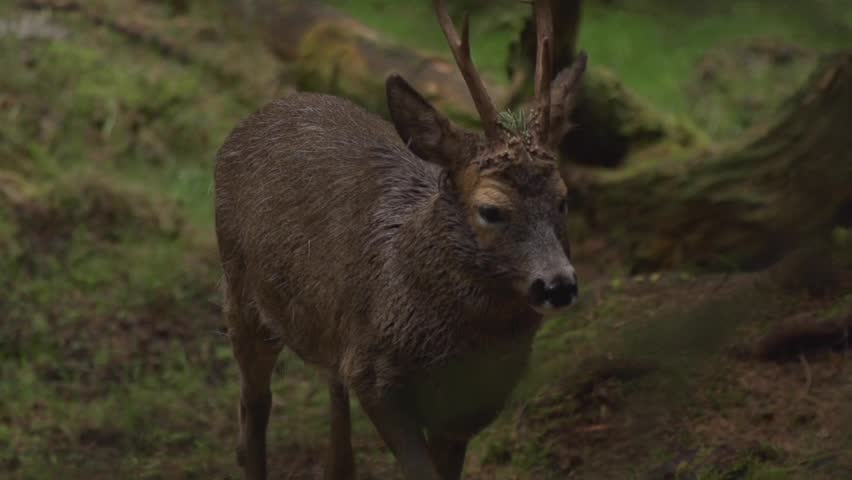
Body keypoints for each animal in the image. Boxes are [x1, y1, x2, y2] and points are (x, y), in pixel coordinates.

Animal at [214, 0, 587, 478]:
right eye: (490, 209)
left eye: (563, 199)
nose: (557, 284)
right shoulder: (376, 375)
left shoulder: (466, 410)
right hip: (240, 291)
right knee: (253, 416)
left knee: (334, 421)